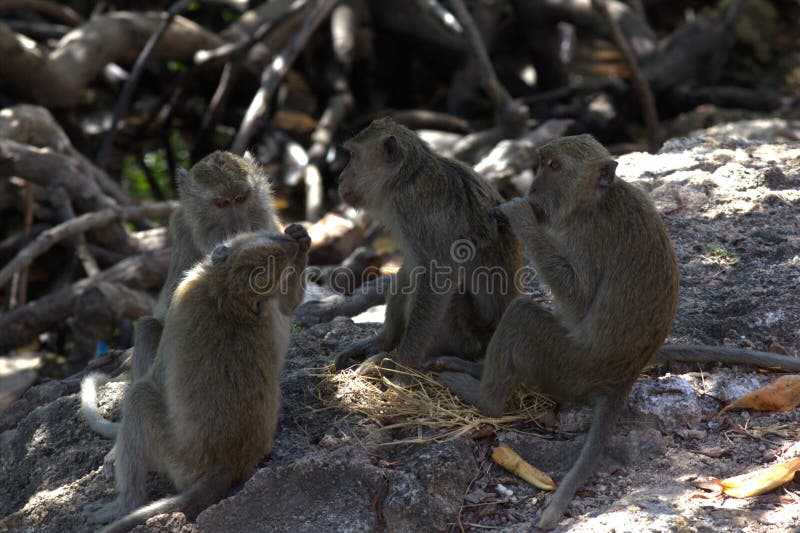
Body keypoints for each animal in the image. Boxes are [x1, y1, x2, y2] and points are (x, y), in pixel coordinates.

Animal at [81, 225, 309, 533]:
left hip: (175, 458)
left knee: (139, 396)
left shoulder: (183, 298)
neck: (225, 293)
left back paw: (125, 504)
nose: (288, 242)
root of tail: (231, 464)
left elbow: (156, 377)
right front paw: (301, 245)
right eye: (272, 245)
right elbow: (285, 309)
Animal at [333, 117, 524, 372]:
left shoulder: (411, 206)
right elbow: (411, 269)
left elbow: (438, 275)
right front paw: (383, 341)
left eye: (352, 155)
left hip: (468, 334)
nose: (341, 178)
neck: (407, 177)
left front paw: (402, 363)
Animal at [436, 134, 680, 530]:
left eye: (554, 167)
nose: (533, 188)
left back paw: (483, 398)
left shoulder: (585, 238)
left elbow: (579, 301)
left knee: (521, 316)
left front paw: (519, 213)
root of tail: (621, 379)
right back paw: (473, 369)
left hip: (565, 364)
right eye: (541, 163)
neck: (596, 201)